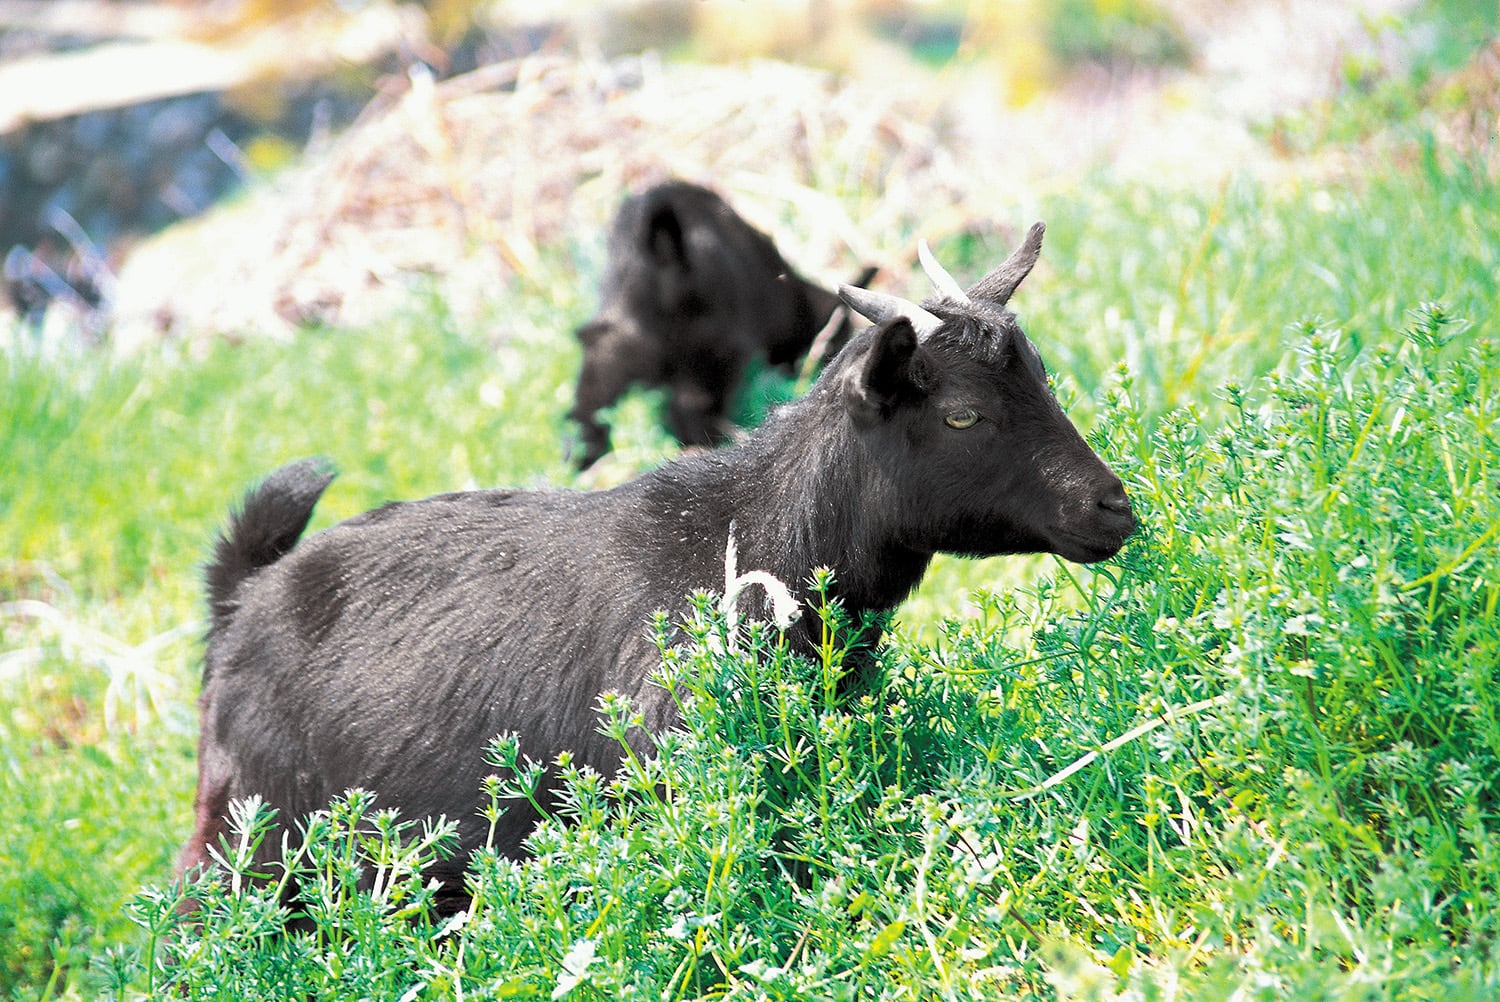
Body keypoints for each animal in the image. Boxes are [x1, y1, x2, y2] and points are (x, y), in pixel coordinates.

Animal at [182, 223, 1135, 910]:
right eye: (963, 415)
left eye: (1041, 375)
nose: (1111, 507)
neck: (752, 538)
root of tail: (241, 599)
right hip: (249, 831)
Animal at [569, 180, 874, 468]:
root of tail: (663, 248)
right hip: (709, 355)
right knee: (693, 412)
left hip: (615, 341)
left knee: (589, 402)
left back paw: (581, 459)